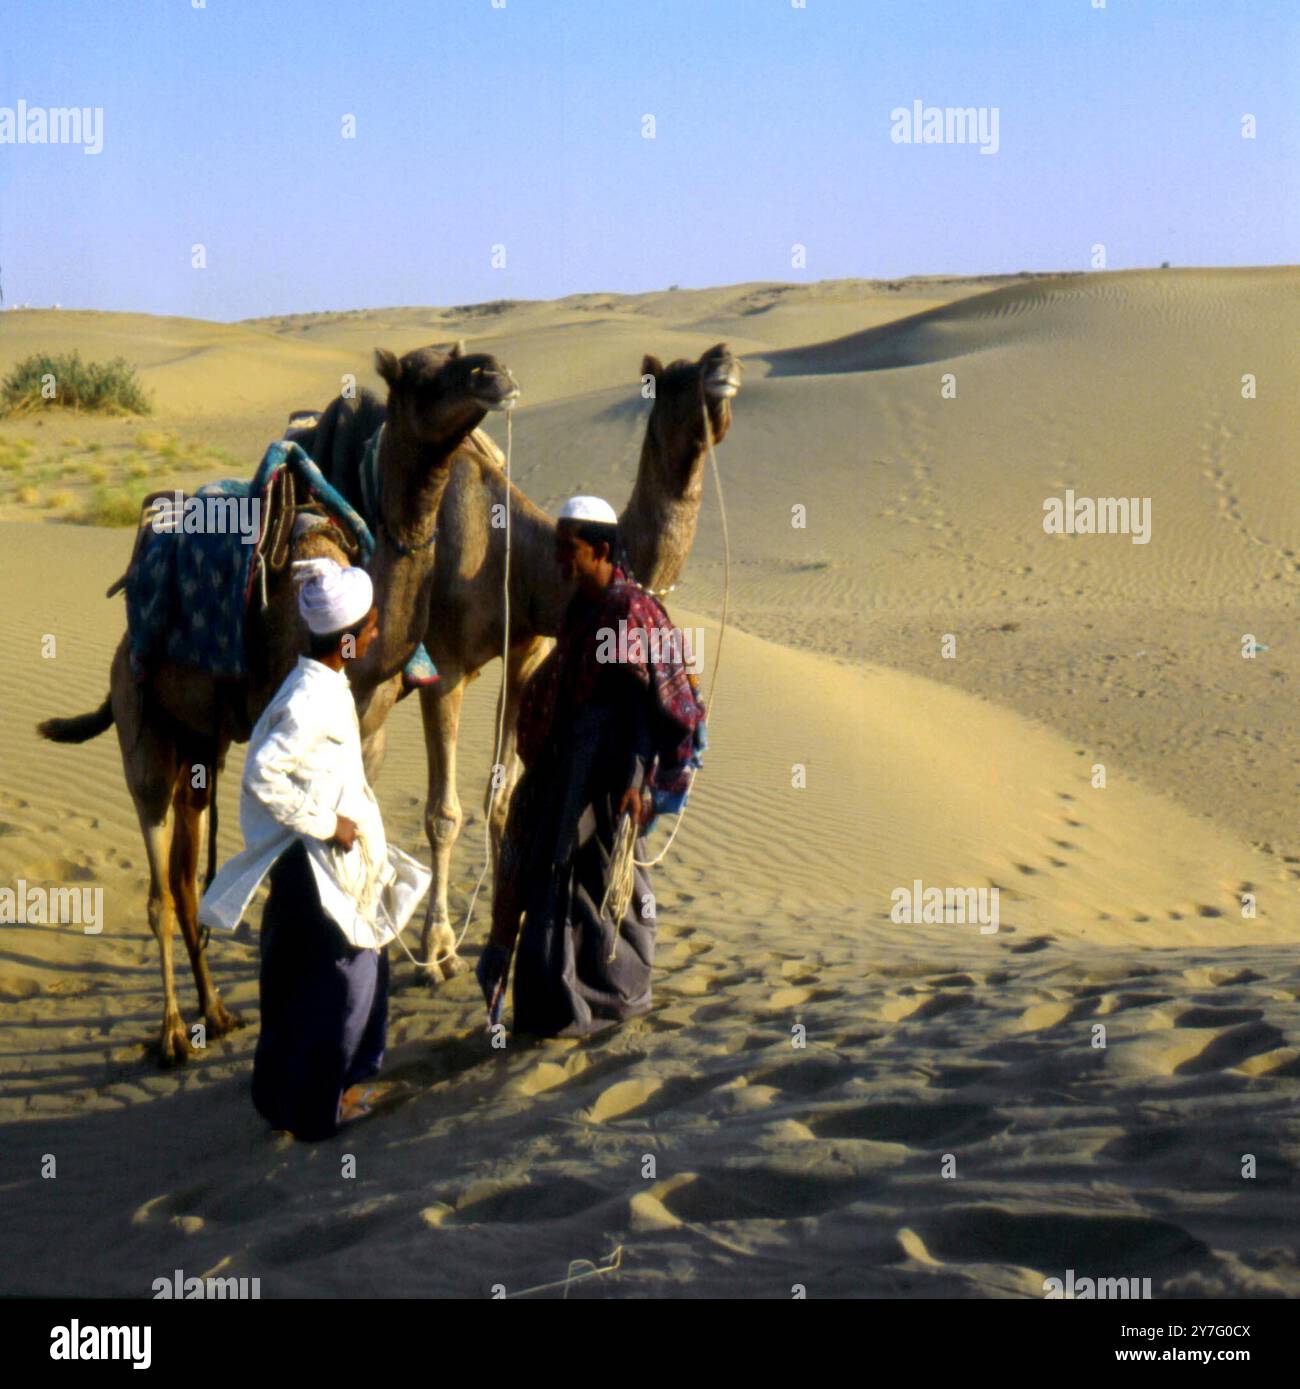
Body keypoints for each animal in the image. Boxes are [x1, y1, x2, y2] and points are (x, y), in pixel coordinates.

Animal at [37, 343, 519, 1065]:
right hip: (142, 731)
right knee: (158, 887)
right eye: (422, 370)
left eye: (460, 354)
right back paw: (173, 1032)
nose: (496, 374)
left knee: (188, 880)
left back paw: (216, 1012)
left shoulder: (372, 728)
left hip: (197, 750)